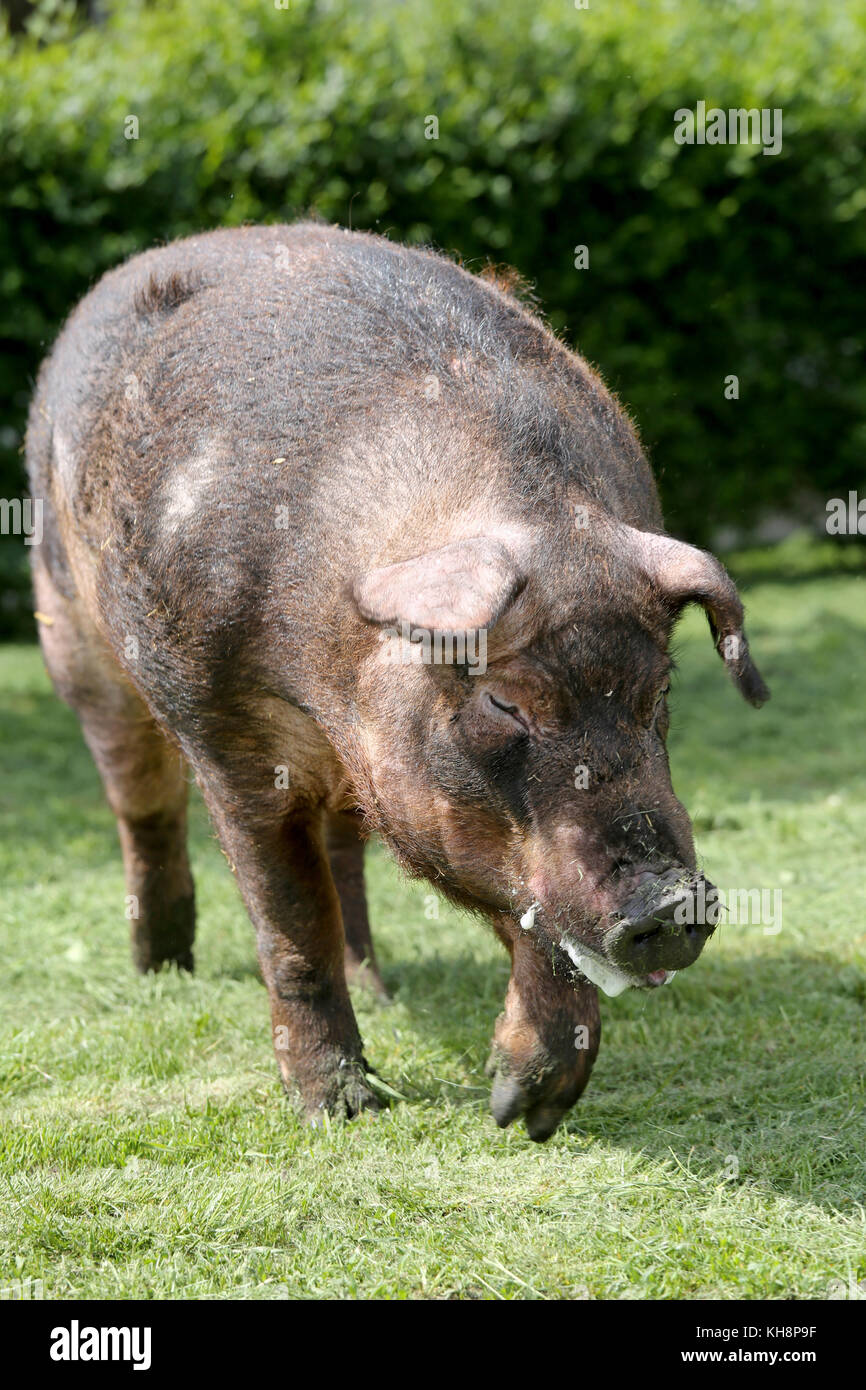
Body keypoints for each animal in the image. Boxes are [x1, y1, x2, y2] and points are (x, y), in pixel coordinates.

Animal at [26, 222, 768, 1140]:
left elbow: (533, 919)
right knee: (144, 808)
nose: (673, 903)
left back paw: (381, 988)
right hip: (74, 636)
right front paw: (341, 1113)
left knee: (343, 851)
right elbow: (289, 923)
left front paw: (521, 1114)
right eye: (504, 702)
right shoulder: (221, 723)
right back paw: (162, 970)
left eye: (658, 694)